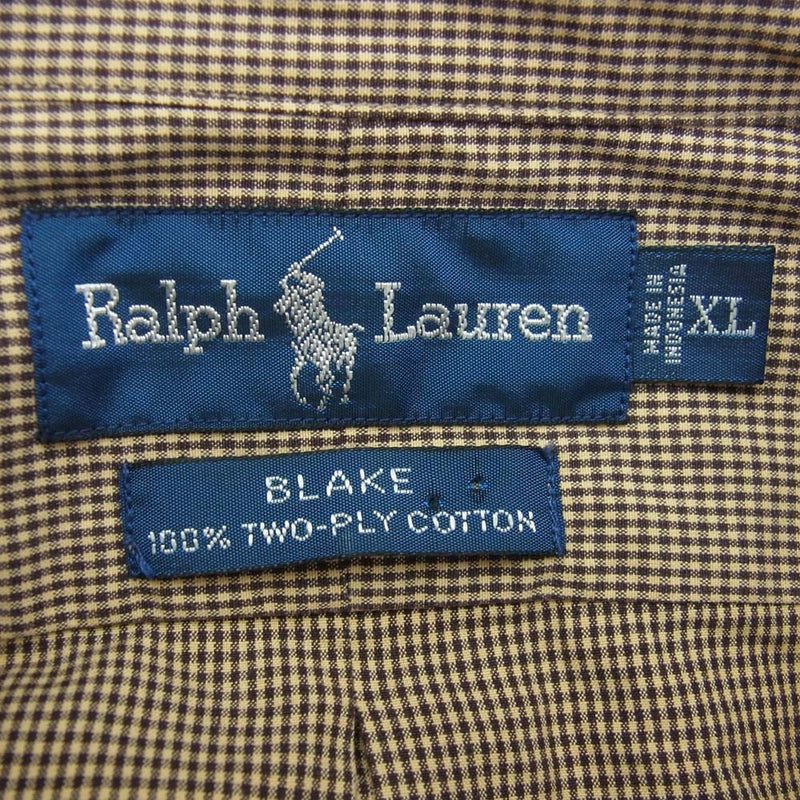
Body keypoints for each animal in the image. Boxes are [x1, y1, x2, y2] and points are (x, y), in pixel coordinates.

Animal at [274, 229, 364, 410]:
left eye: (287, 297)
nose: (276, 307)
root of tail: (351, 331)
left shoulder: (320, 361)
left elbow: (324, 380)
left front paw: (321, 402)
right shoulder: (303, 359)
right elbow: (296, 375)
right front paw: (305, 399)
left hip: (345, 359)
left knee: (345, 377)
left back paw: (342, 398)